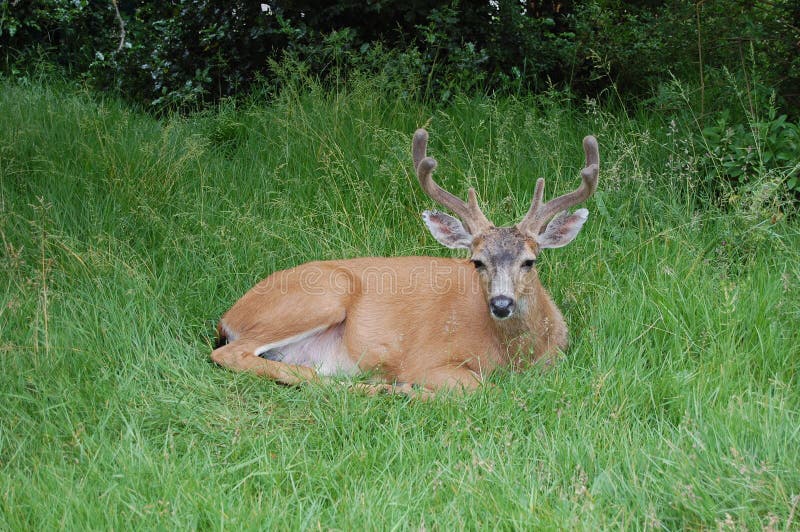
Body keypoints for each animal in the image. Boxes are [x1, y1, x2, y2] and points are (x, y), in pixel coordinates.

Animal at [211, 128, 599, 397]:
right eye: (476, 262)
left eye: (530, 261)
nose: (501, 304)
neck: (514, 356)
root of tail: (228, 316)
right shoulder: (427, 360)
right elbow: (481, 388)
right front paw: (412, 389)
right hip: (323, 293)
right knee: (233, 354)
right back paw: (383, 388)